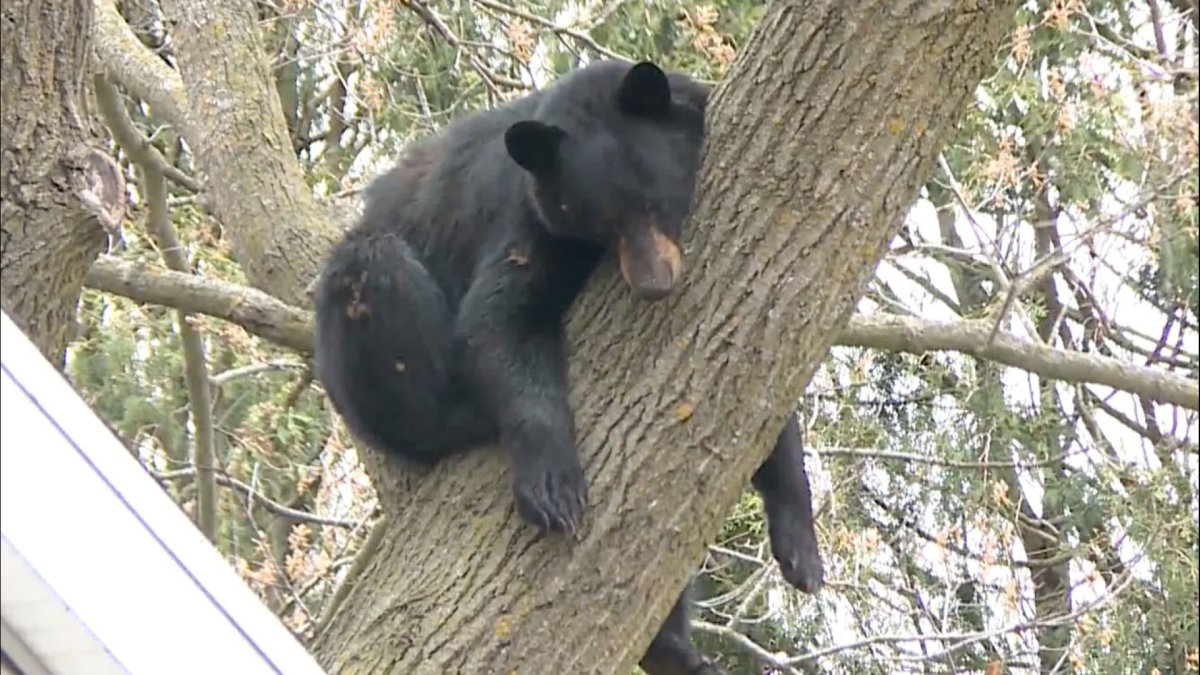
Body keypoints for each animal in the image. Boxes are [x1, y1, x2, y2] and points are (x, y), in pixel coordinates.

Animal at [311, 58, 824, 674]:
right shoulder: (526, 219)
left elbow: (769, 393)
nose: (655, 285)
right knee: (383, 288)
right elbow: (497, 320)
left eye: (655, 202)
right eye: (600, 221)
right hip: (362, 343)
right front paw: (553, 490)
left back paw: (677, 650)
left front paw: (801, 552)